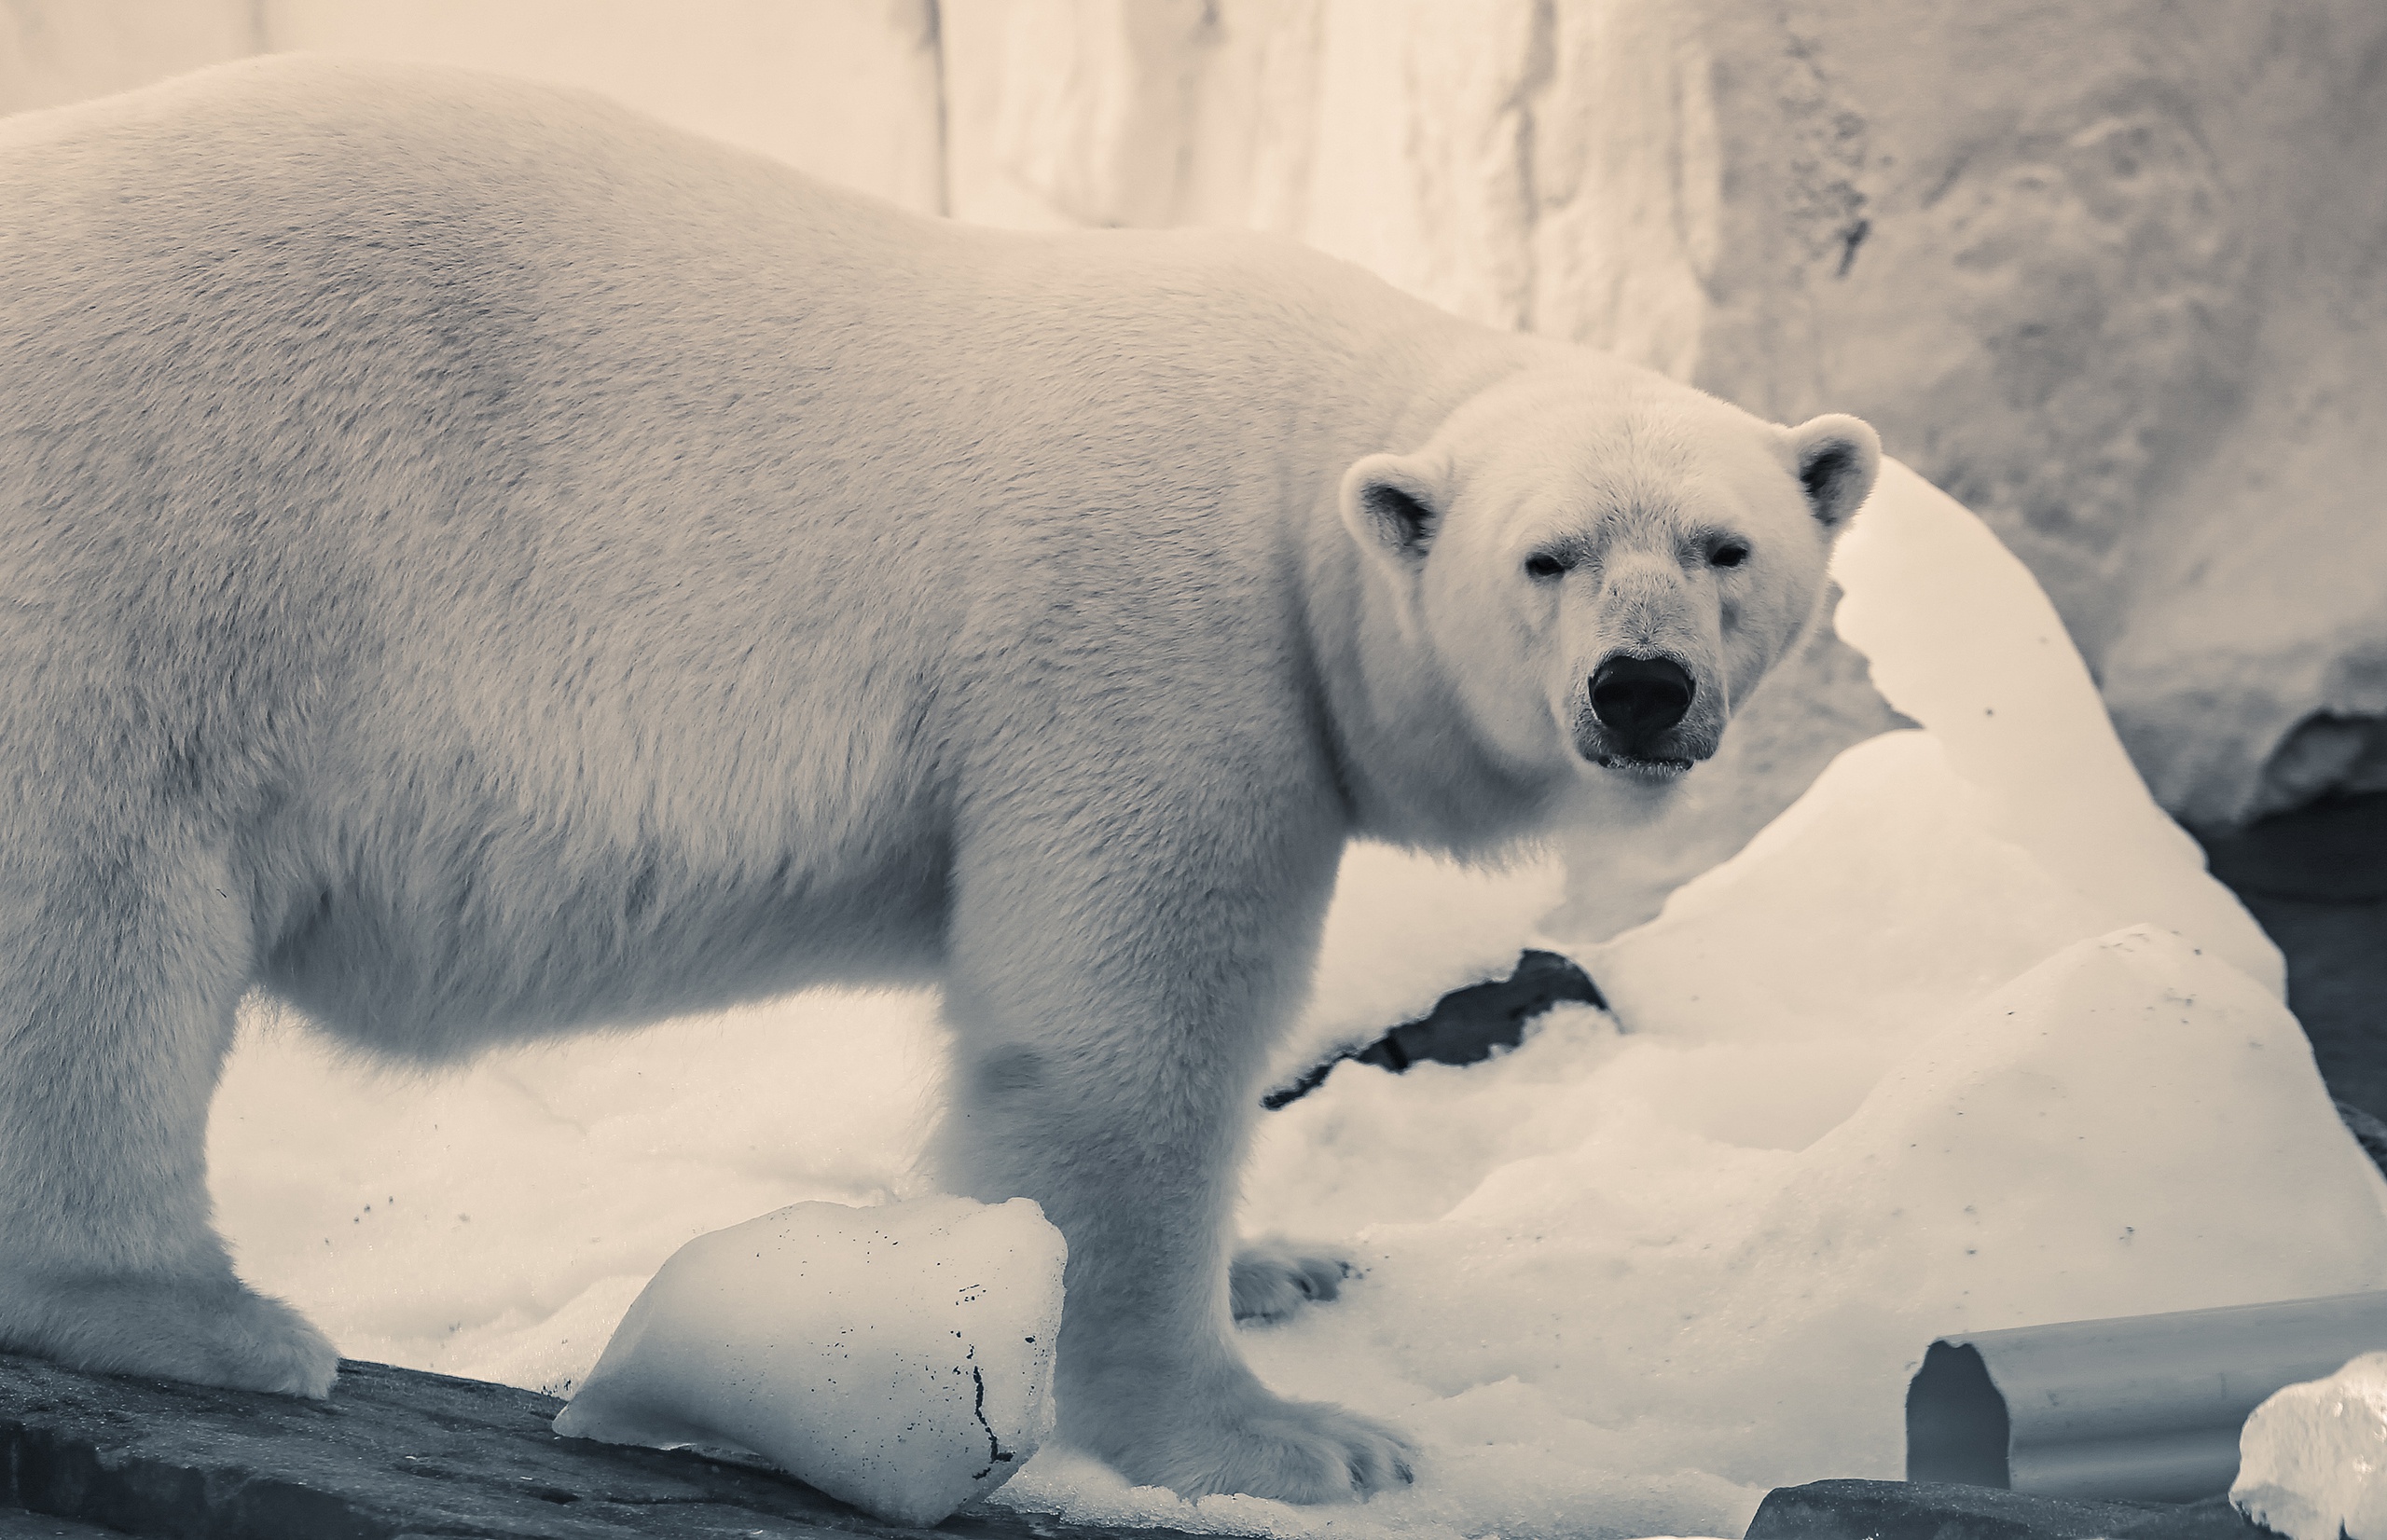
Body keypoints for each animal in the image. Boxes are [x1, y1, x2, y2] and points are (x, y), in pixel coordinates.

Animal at [0, 56, 1879, 1503]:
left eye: (1725, 547)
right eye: (1547, 559)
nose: (1642, 689)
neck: (1300, 468)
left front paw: (1274, 1263)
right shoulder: (1160, 648)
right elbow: (1125, 1038)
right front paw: (1290, 1440)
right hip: (150, 534)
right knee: (94, 923)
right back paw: (197, 1313)